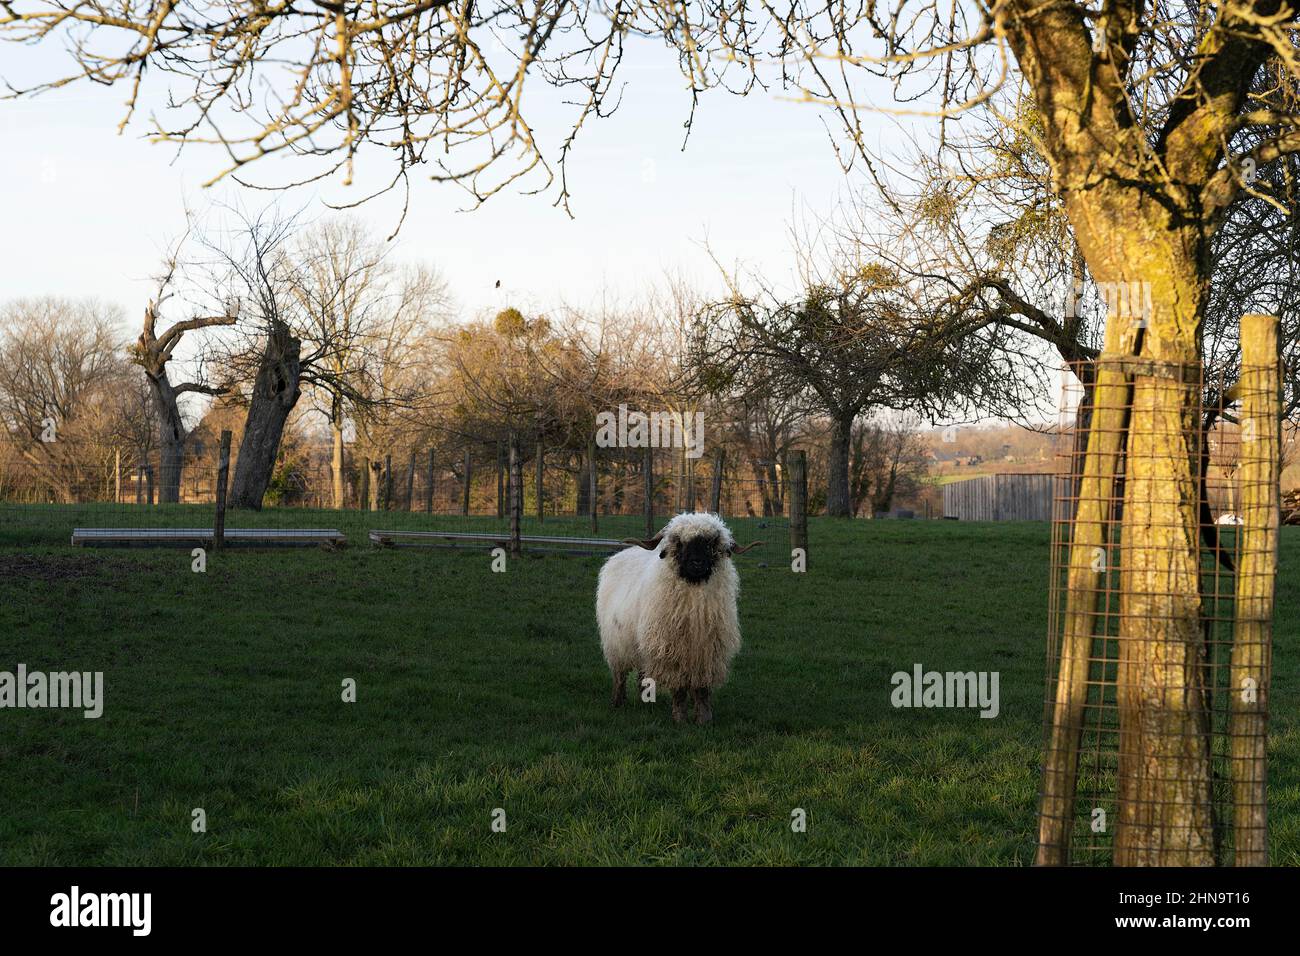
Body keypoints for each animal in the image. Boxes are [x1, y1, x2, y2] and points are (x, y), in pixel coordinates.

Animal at [596, 512, 761, 724]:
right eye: (680, 543)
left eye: (710, 543)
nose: (697, 563)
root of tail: (622, 553)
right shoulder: (671, 650)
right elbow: (679, 689)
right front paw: (680, 719)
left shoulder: (707, 653)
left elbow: (702, 689)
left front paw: (704, 719)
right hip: (616, 642)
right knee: (619, 675)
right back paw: (617, 702)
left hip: (642, 646)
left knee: (642, 673)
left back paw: (644, 700)